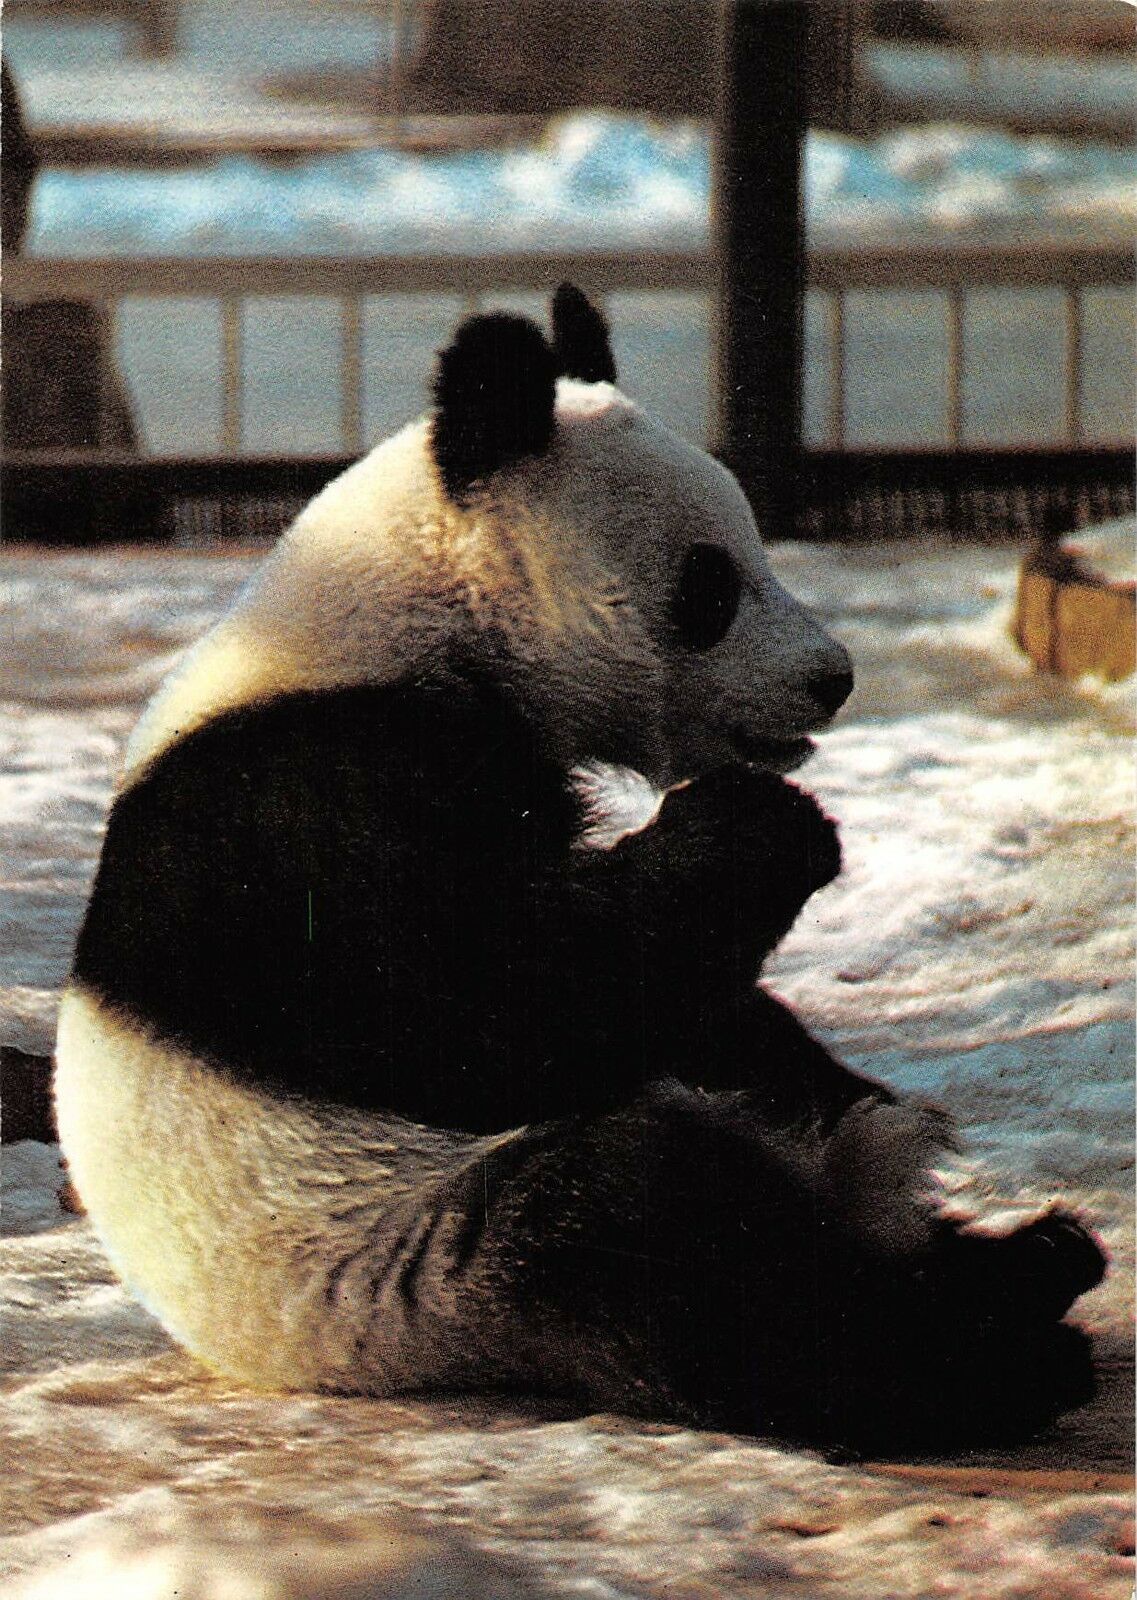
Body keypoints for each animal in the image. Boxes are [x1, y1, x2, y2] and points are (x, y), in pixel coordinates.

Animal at [55, 285, 1104, 1450]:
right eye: (710, 583)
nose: (832, 678)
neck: (414, 613)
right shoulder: (308, 800)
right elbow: (500, 1007)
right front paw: (763, 825)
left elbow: (677, 999)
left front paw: (836, 1069)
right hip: (405, 1258)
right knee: (652, 1234)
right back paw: (994, 1348)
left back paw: (1024, 1252)